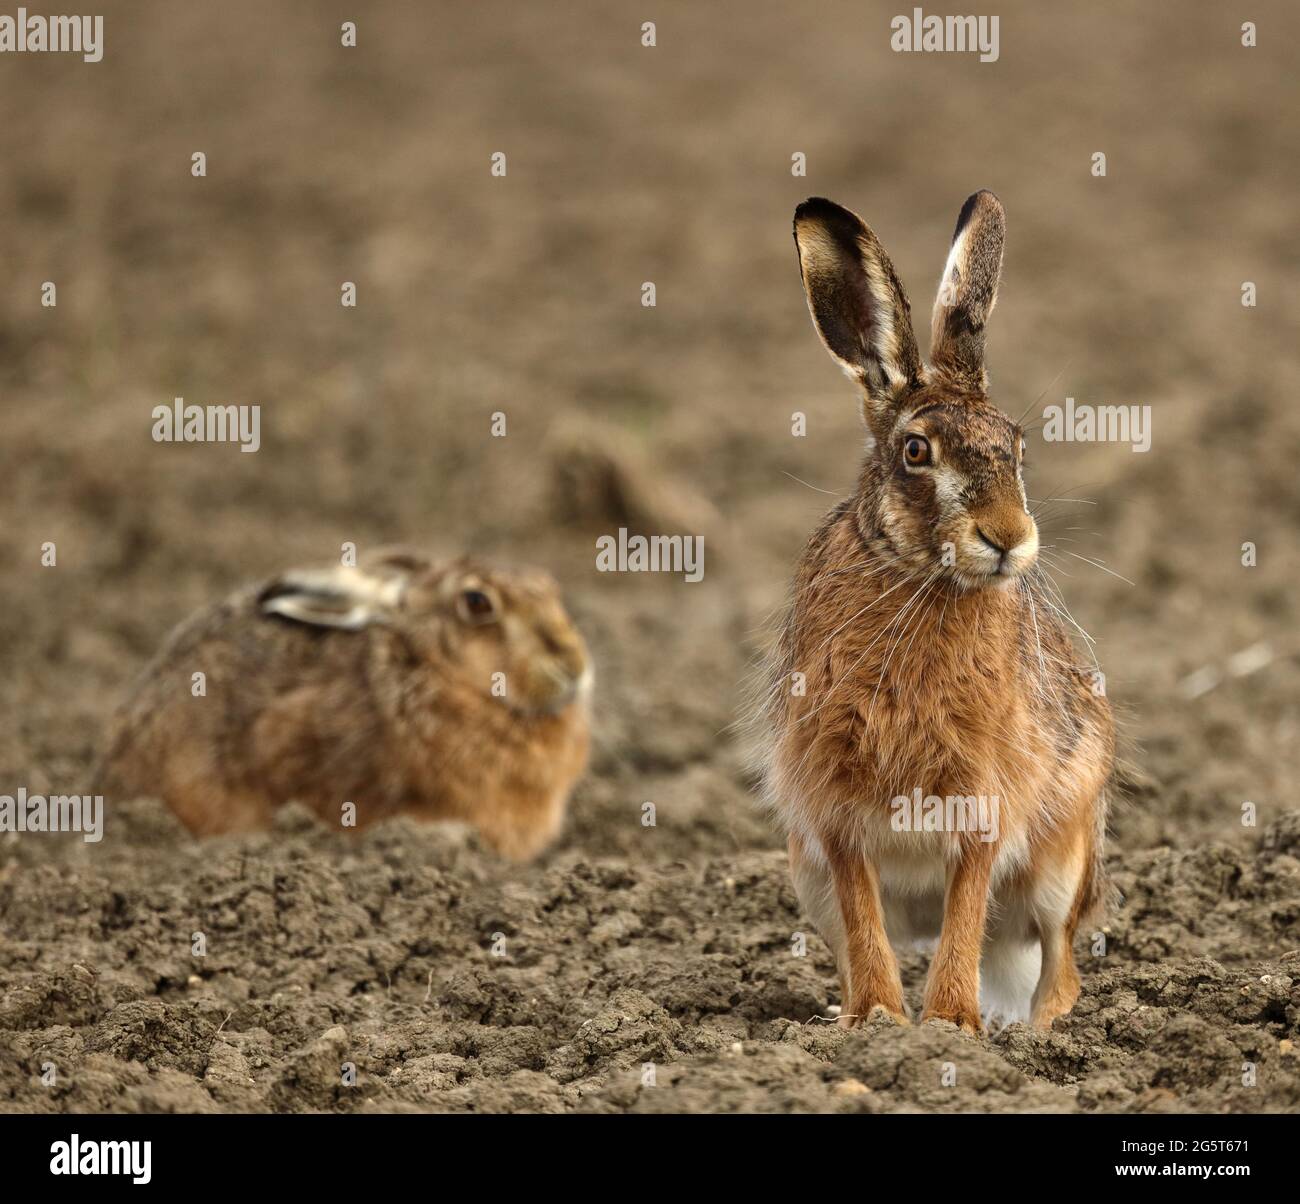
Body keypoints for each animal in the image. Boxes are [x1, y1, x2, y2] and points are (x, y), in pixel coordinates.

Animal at [761, 192, 1114, 1033]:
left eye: (1018, 448)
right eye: (916, 452)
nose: (1009, 539)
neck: (921, 579)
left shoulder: (986, 791)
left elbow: (967, 902)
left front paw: (949, 1023)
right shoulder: (833, 805)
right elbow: (864, 914)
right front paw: (882, 1022)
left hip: (1065, 858)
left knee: (1057, 960)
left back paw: (1038, 1031)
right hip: (804, 875)